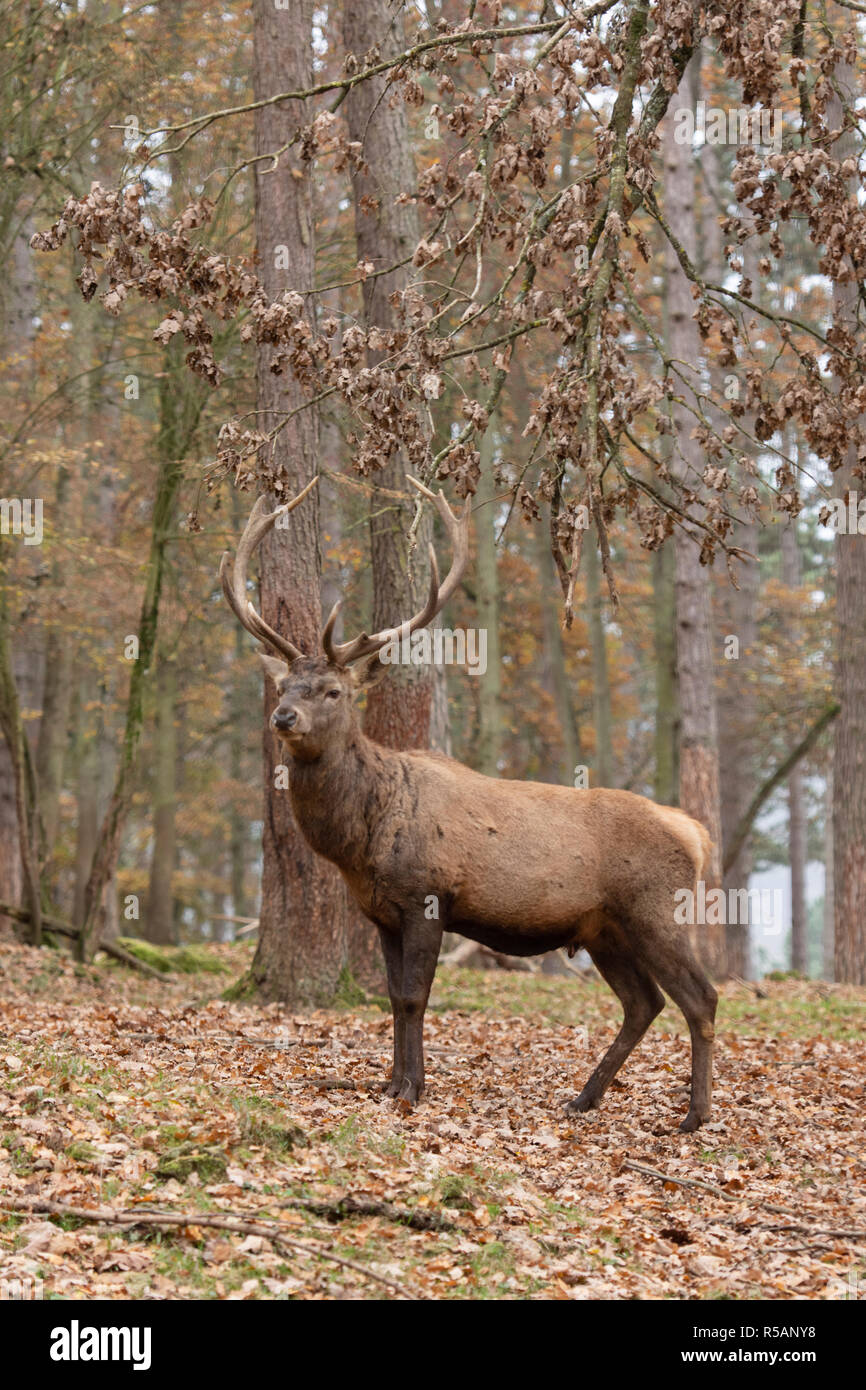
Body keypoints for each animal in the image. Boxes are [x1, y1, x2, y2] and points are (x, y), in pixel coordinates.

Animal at [221, 476, 718, 1132]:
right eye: (283, 685)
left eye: (332, 691)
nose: (283, 717)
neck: (361, 842)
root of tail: (694, 832)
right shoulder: (381, 912)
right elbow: (394, 997)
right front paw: (391, 1083)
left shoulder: (427, 896)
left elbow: (415, 996)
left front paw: (412, 1089)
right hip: (604, 927)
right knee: (644, 1002)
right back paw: (583, 1098)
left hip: (658, 910)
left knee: (700, 997)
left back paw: (695, 1116)